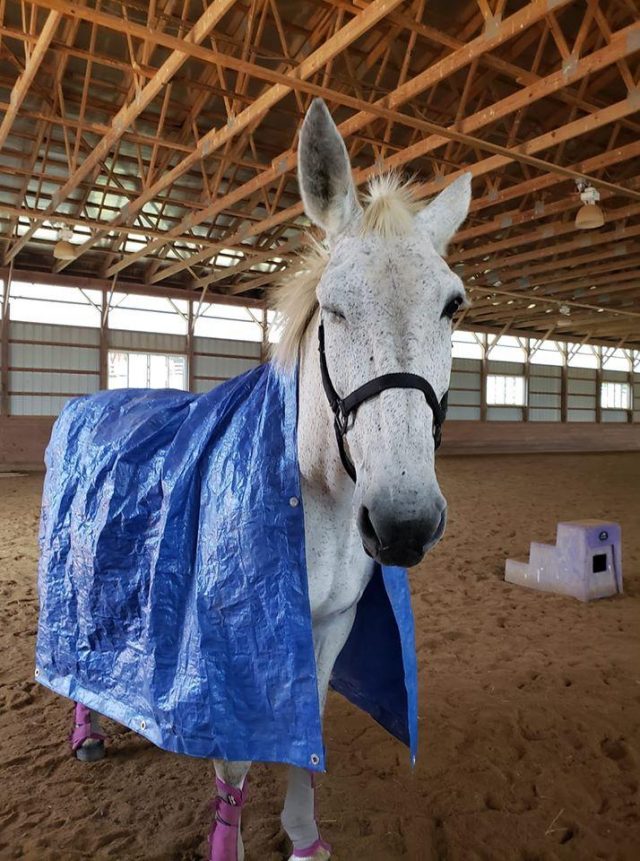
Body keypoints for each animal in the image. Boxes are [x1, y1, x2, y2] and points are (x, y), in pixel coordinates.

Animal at [38, 98, 471, 860]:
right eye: (333, 304)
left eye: (452, 306)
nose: (403, 522)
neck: (315, 498)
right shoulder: (226, 647)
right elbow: (235, 761)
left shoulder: (330, 623)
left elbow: (308, 729)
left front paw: (304, 836)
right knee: (75, 659)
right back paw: (86, 734)